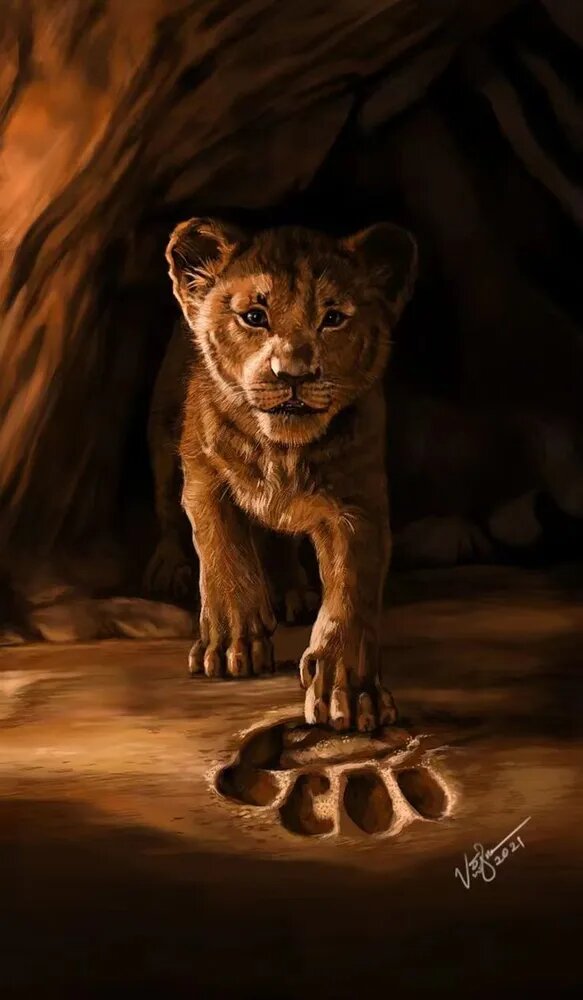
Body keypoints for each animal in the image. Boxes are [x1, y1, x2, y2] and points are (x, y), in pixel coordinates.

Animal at [156, 217, 417, 731]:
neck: (281, 450)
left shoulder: (358, 503)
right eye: (254, 316)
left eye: (333, 318)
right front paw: (232, 645)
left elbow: (351, 592)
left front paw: (349, 692)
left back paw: (292, 592)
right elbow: (222, 549)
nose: (292, 374)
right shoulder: (202, 473)